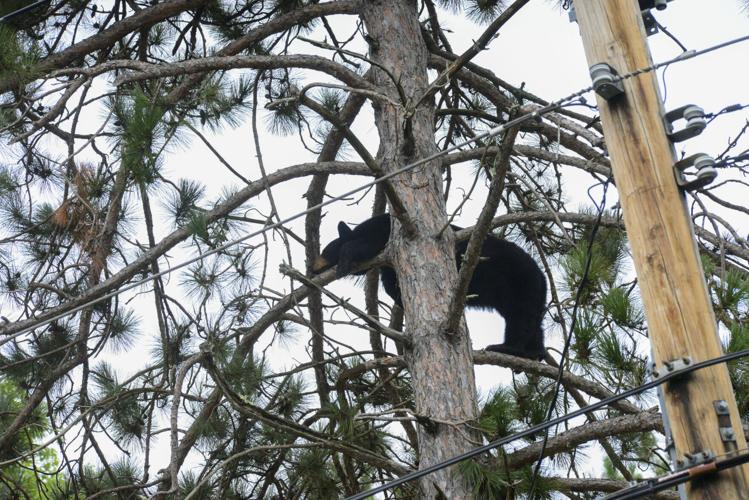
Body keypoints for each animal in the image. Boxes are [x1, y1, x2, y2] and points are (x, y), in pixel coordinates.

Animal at [312, 214, 547, 360]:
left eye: (324, 251)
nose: (312, 267)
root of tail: (543, 275)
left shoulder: (384, 232)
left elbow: (363, 246)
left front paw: (345, 260)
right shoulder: (390, 262)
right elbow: (391, 284)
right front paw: (401, 300)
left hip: (520, 281)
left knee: (520, 318)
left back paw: (508, 348)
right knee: (531, 321)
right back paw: (535, 353)